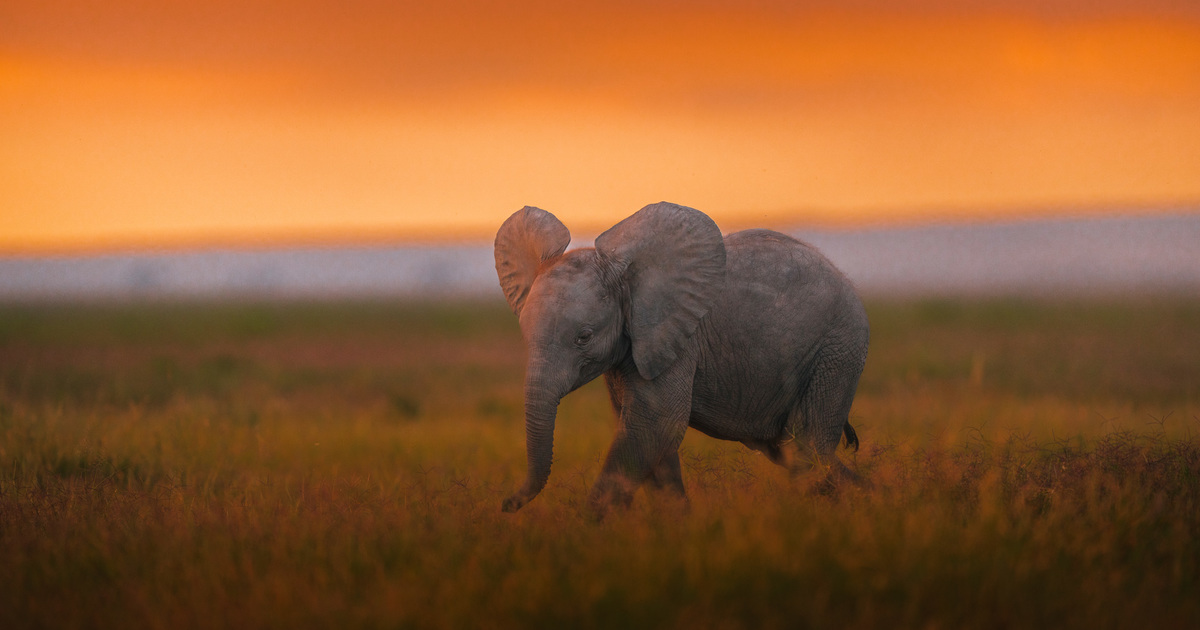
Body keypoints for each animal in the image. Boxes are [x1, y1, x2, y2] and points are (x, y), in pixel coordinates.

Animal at [494, 202, 869, 514]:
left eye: (583, 337)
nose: (506, 505)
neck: (628, 278)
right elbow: (647, 436)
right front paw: (676, 526)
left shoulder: (675, 339)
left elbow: (654, 425)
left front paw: (584, 533)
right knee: (793, 450)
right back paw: (874, 495)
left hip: (837, 351)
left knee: (806, 449)